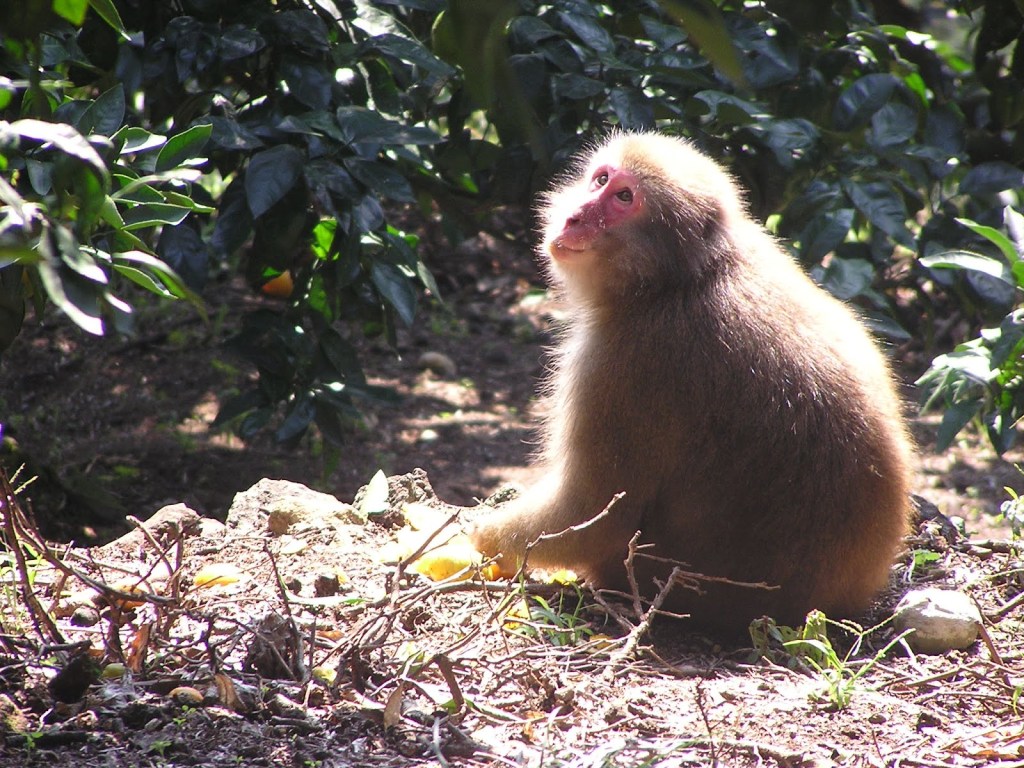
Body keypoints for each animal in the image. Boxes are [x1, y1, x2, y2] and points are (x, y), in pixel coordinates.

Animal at [470, 132, 914, 633]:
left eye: (624, 198)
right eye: (600, 180)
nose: (574, 215)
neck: (675, 280)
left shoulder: (623, 365)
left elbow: (592, 514)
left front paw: (483, 535)